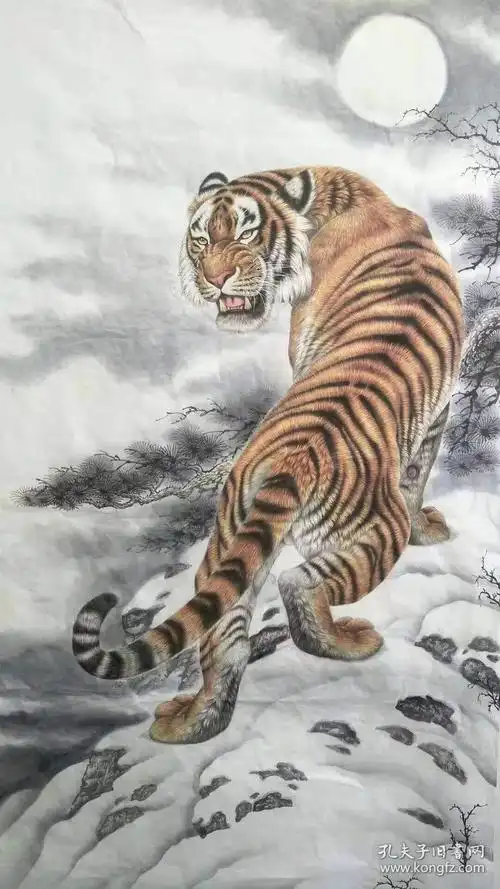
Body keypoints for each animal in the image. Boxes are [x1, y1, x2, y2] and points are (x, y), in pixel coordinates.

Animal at [72, 165, 464, 745]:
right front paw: (428, 529)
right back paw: (351, 641)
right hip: (374, 531)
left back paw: (190, 725)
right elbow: (416, 478)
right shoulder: (435, 417)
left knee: (225, 640)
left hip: (230, 540)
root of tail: (293, 461)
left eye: (247, 233)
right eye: (201, 238)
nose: (212, 279)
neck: (344, 198)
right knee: (297, 581)